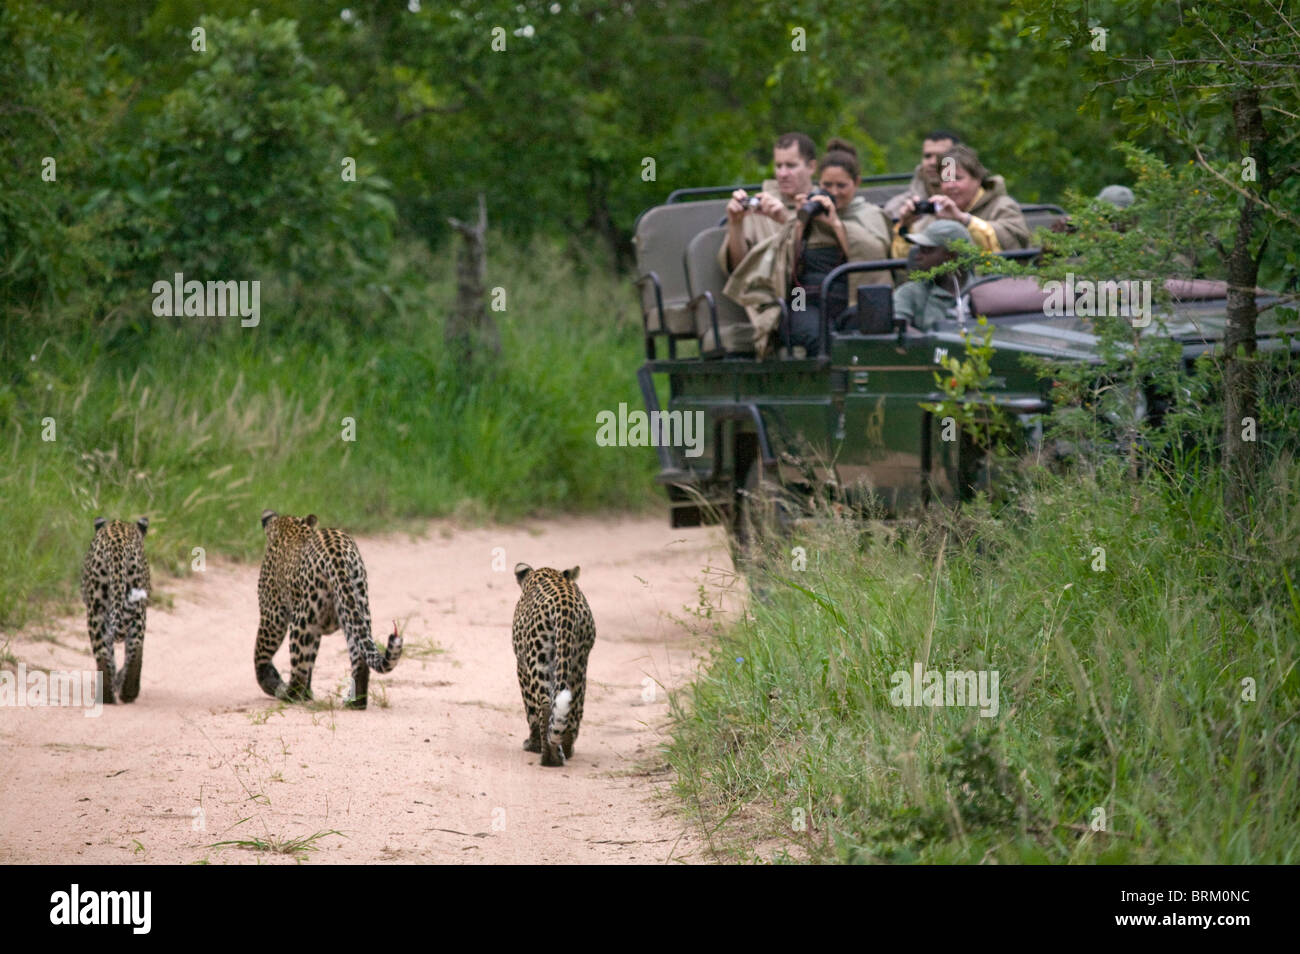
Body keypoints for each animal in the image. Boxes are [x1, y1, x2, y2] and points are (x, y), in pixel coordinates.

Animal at [80, 517, 151, 704]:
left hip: (97, 610)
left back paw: (112, 694)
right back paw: (126, 691)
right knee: (133, 647)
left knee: (106, 653)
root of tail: (117, 545)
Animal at [253, 510, 402, 709]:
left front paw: (271, 682)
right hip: (355, 610)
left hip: (302, 622)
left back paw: (287, 693)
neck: (290, 527)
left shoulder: (272, 614)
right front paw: (307, 694)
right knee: (361, 661)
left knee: (298, 672)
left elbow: (260, 655)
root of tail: (337, 554)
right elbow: (311, 663)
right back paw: (355, 702)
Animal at [511, 563, 596, 767]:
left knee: (544, 704)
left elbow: (530, 709)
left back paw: (549, 756)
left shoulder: (521, 666)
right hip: (577, 662)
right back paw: (566, 748)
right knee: (573, 706)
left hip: (538, 657)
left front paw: (532, 743)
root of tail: (564, 606)